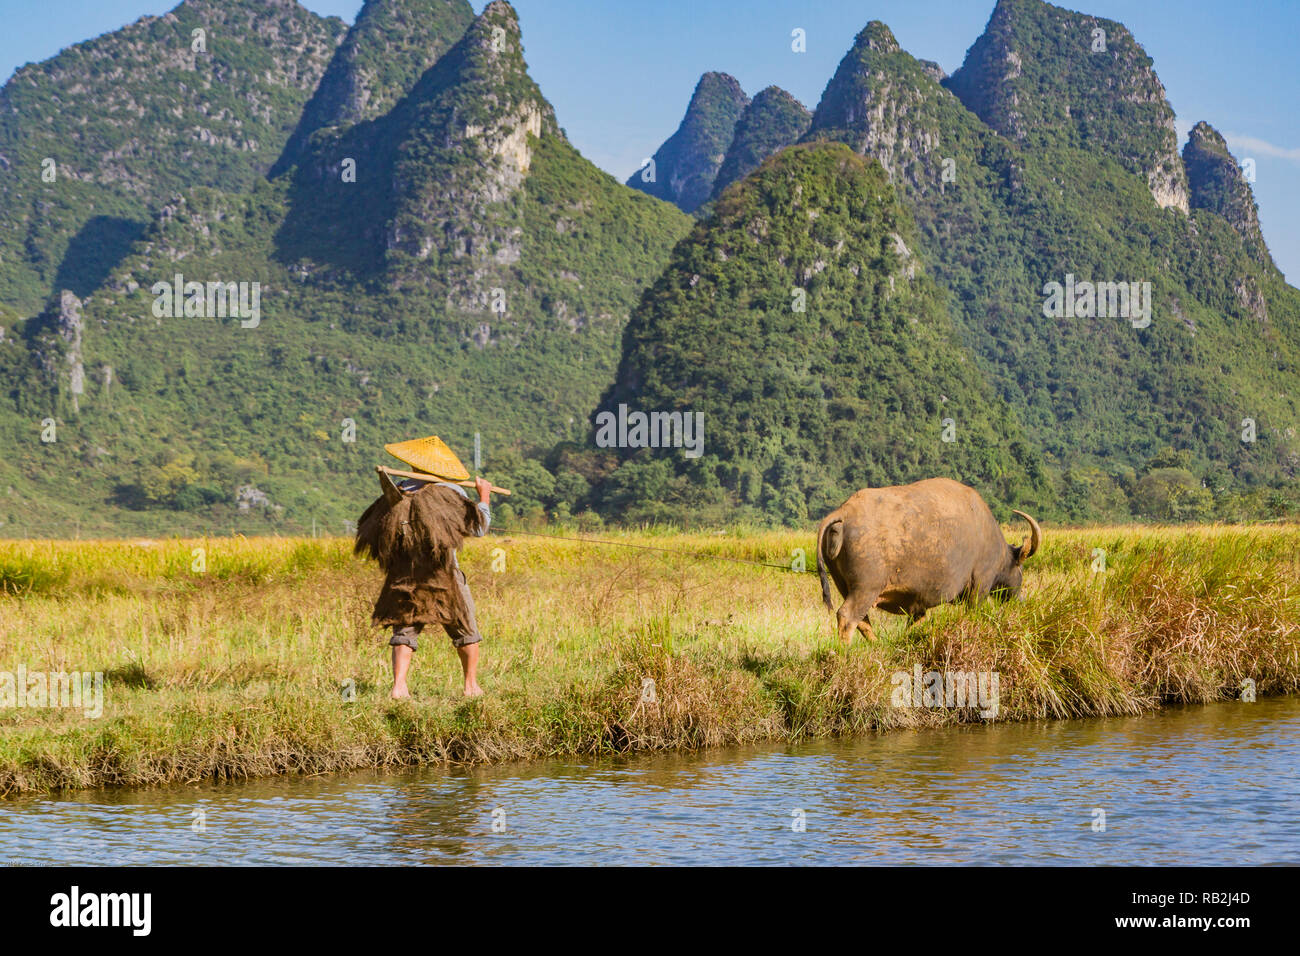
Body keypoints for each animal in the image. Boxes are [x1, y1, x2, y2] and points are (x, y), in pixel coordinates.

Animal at [815, 478, 1042, 644]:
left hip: (845, 586)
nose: (1020, 600)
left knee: (862, 621)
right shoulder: (979, 587)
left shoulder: (918, 604)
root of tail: (844, 512)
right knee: (847, 616)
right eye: (1020, 569)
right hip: (866, 588)